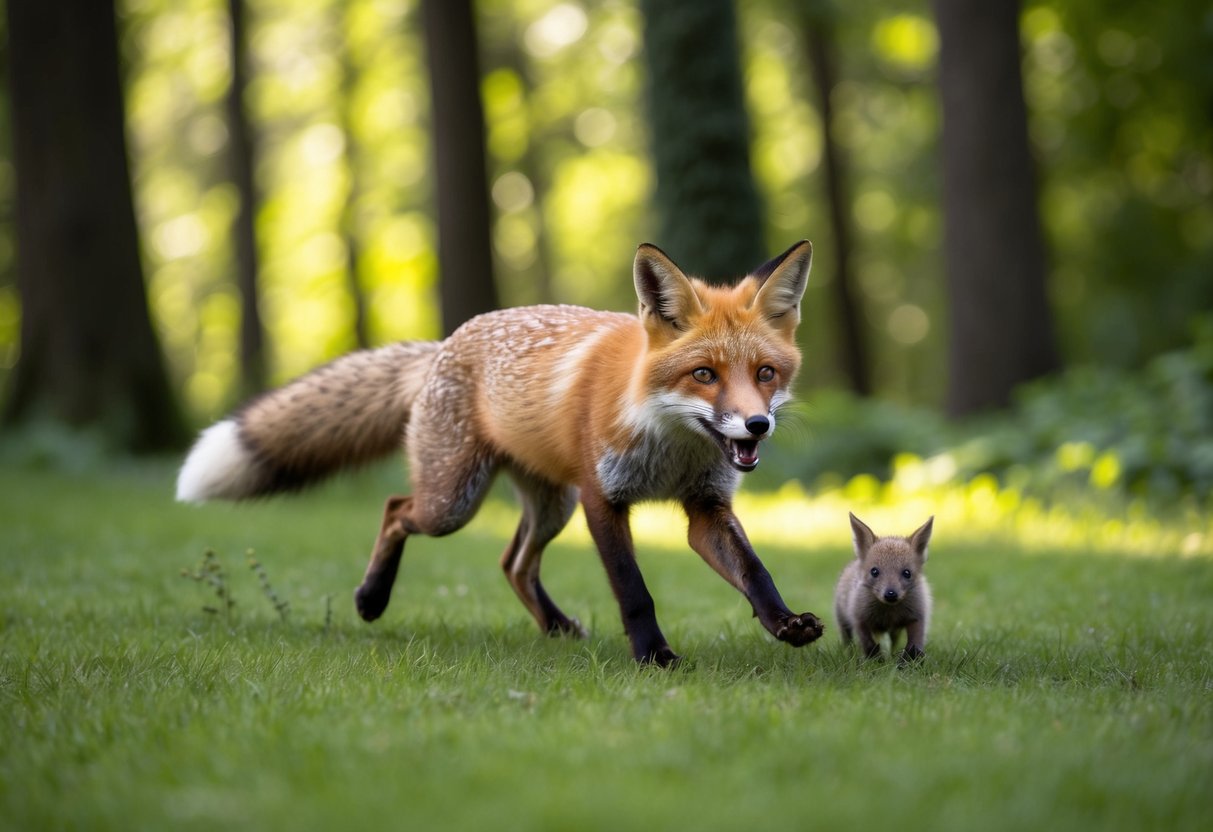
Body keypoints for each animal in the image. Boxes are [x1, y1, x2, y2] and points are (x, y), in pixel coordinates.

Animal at [176, 241, 825, 665]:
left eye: (765, 373)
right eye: (704, 375)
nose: (757, 425)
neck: (671, 446)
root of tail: (443, 344)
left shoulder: (705, 507)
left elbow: (756, 571)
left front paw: (786, 624)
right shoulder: (603, 500)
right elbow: (634, 591)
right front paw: (653, 656)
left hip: (551, 505)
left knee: (513, 563)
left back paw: (556, 627)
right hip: (455, 503)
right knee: (396, 509)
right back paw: (371, 598)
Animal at [835, 513, 934, 662]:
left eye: (907, 573)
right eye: (874, 571)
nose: (890, 594)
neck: (889, 613)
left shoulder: (917, 616)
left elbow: (914, 643)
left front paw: (909, 662)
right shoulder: (859, 618)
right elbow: (869, 644)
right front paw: (876, 661)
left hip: (895, 631)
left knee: (893, 644)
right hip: (843, 622)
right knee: (848, 643)